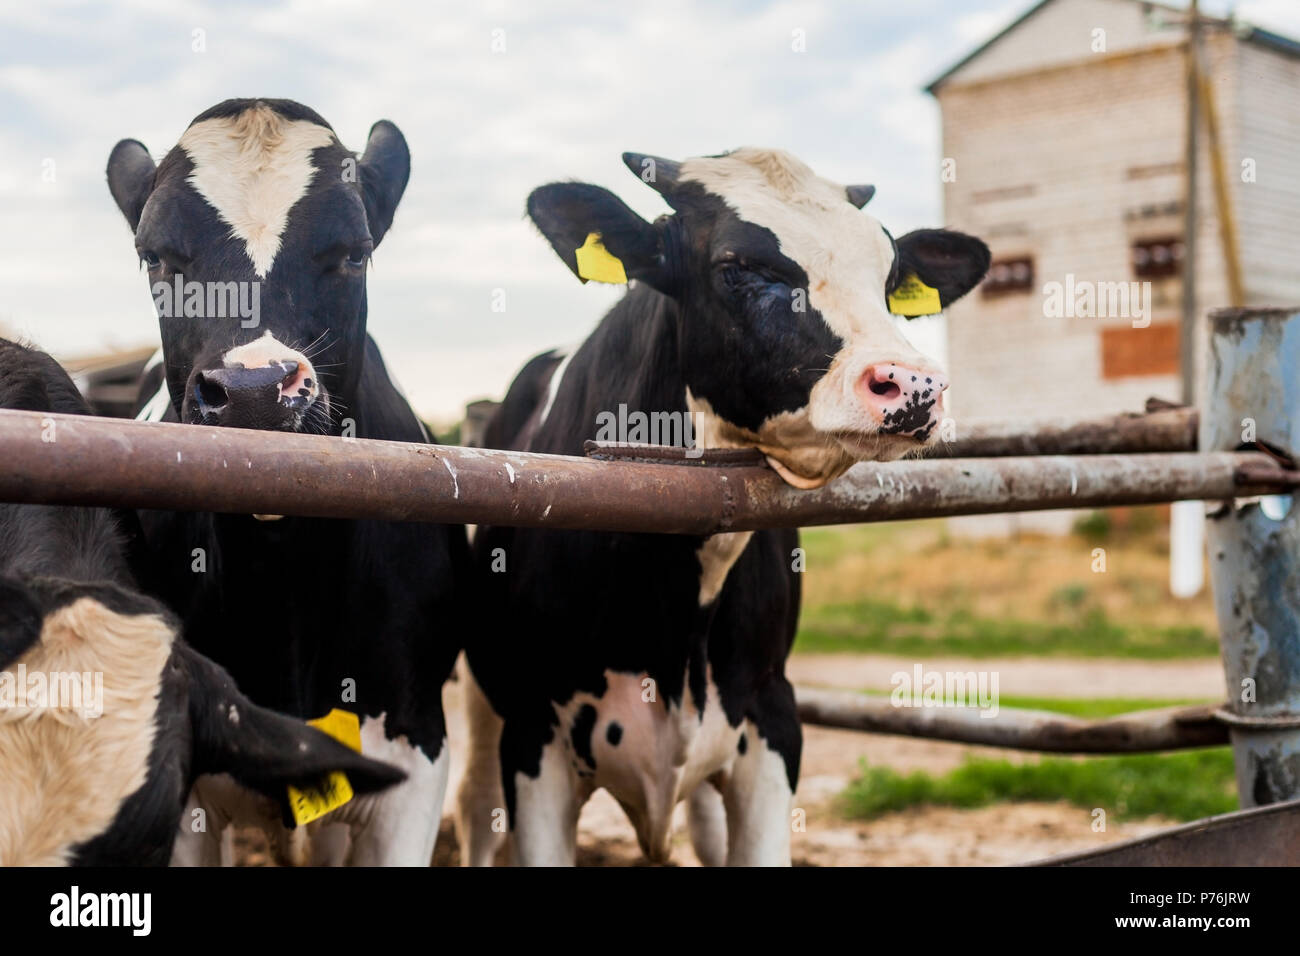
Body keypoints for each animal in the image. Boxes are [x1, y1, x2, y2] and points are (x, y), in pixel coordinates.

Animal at [457, 148, 989, 866]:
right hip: (484, 710)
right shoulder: (534, 736)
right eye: (737, 267)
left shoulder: (771, 720)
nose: (914, 384)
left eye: (888, 278)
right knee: (476, 811)